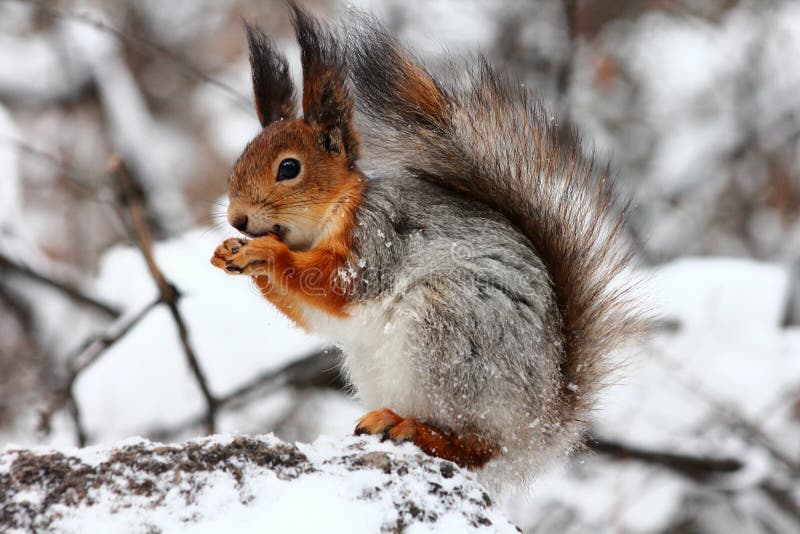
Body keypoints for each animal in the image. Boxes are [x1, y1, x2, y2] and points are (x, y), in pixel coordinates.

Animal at [211, 3, 643, 479]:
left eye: (289, 168)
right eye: (241, 158)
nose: (236, 218)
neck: (331, 214)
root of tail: (538, 431)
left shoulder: (377, 236)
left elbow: (339, 284)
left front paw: (268, 253)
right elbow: (314, 313)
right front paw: (228, 252)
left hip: (447, 334)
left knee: (478, 447)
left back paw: (411, 428)